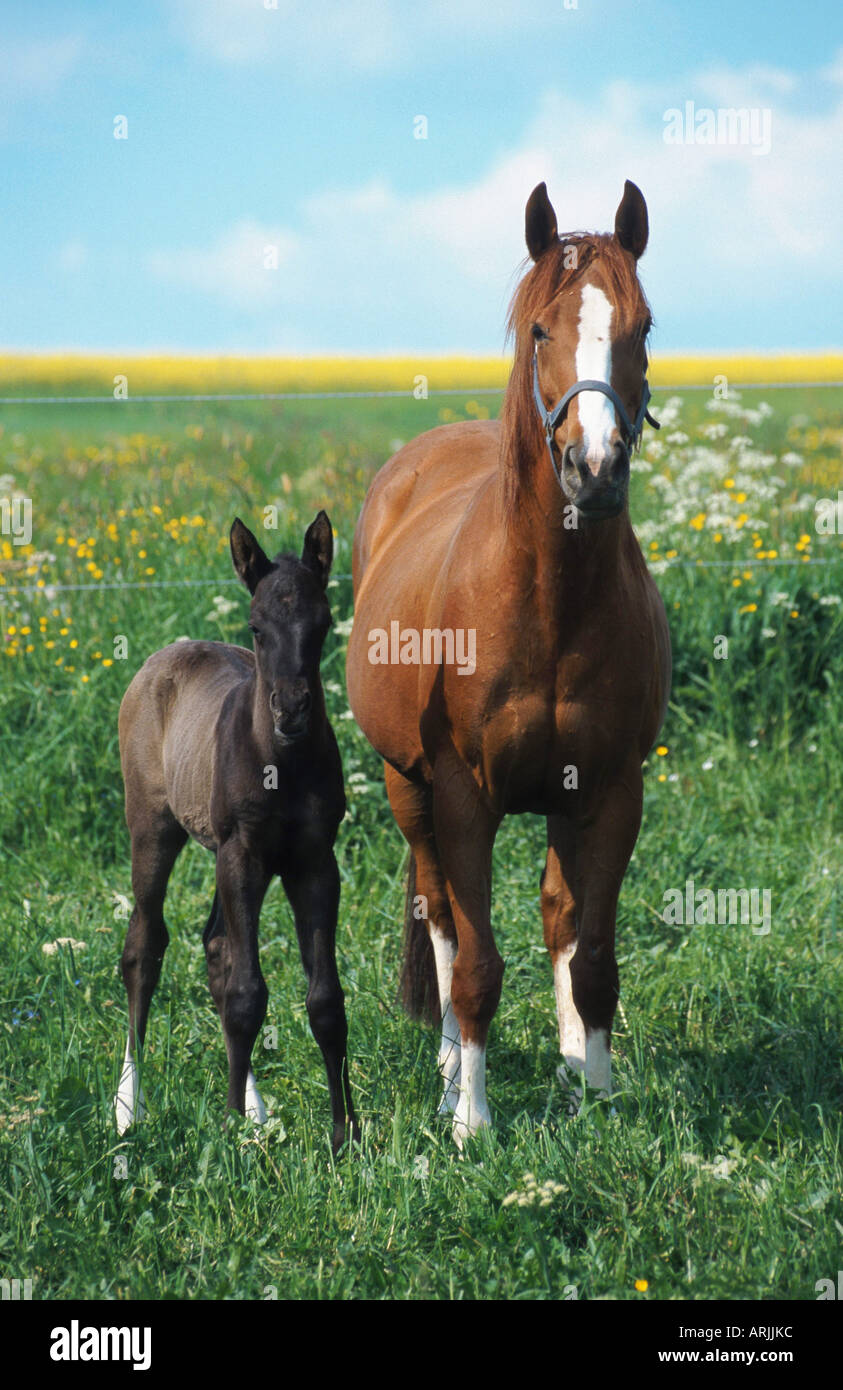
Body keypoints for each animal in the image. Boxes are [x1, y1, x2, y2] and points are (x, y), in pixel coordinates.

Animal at [114, 513, 359, 1153]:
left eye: (323, 623)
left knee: (217, 947)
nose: (292, 710)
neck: (282, 762)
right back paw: (128, 1107)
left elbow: (325, 1000)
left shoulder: (314, 862)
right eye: (255, 626)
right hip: (154, 829)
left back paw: (256, 1108)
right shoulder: (242, 853)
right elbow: (249, 994)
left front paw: (344, 1134)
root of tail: (158, 661)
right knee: (145, 945)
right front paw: (227, 1135)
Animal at [346, 180, 671, 1145]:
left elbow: (591, 951)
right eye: (538, 330)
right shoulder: (460, 794)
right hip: (405, 787)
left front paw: (596, 1092)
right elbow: (476, 963)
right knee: (441, 916)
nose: (593, 470)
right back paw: (450, 1067)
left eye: (642, 325)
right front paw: (471, 1122)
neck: (547, 601)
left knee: (558, 920)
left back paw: (566, 1062)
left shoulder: (608, 788)